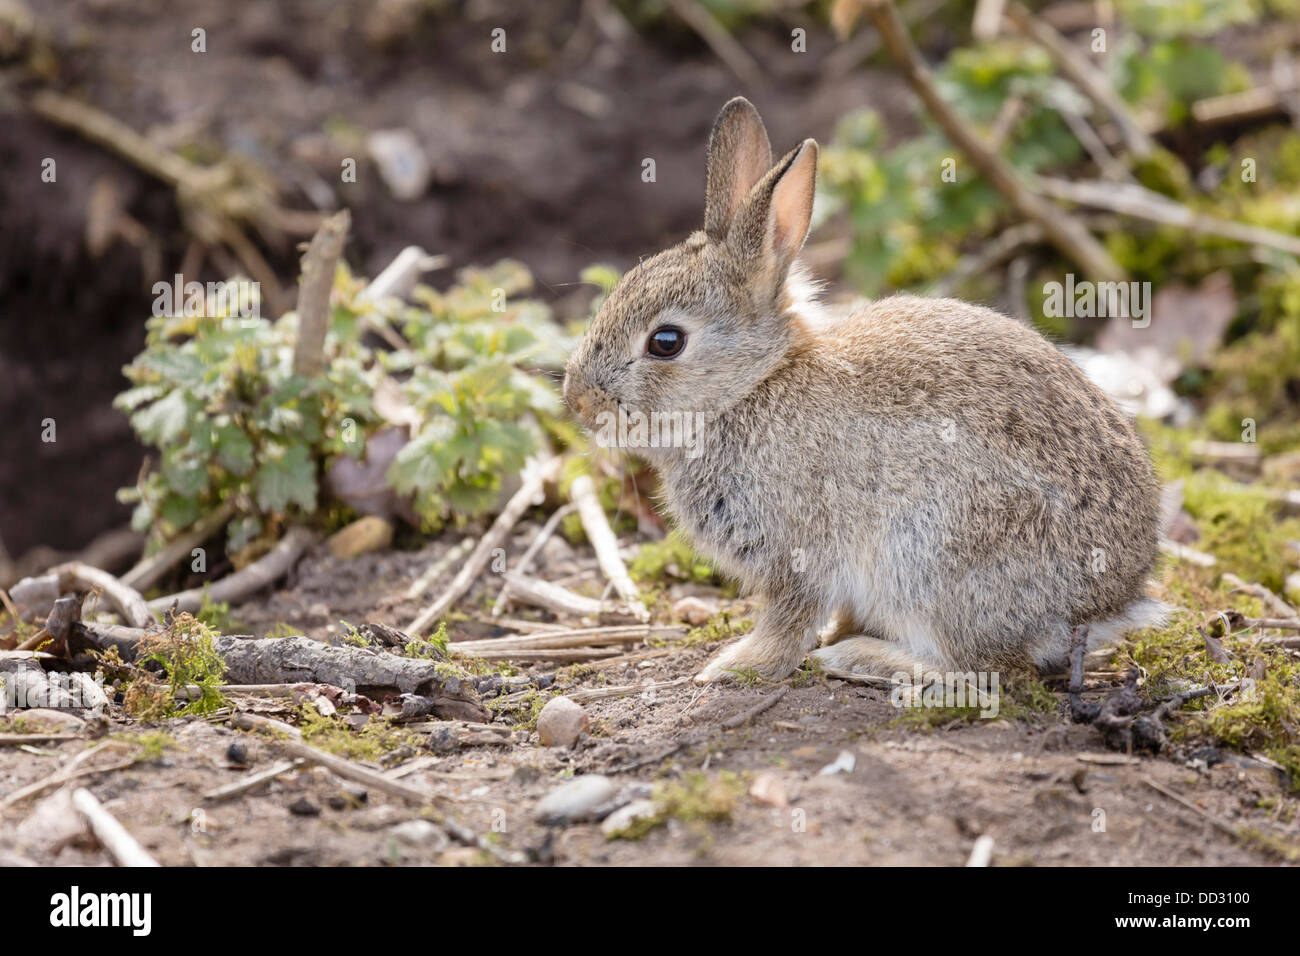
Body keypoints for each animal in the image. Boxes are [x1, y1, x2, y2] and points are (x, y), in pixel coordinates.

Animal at [563, 96, 1164, 685]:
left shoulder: (798, 552)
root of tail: (1107, 605)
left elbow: (788, 619)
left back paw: (862, 659)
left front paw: (736, 665)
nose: (580, 403)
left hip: (930, 557)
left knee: (983, 668)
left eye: (666, 342)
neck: (754, 385)